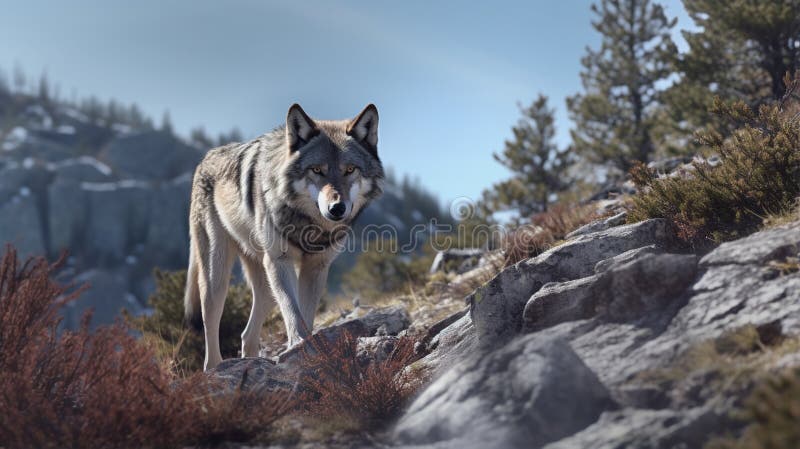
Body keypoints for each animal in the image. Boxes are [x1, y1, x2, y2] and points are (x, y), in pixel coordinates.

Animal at [184, 104, 383, 370]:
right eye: (317, 170)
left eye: (350, 170)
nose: (337, 208)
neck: (309, 225)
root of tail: (206, 158)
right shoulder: (280, 261)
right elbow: (292, 311)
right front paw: (298, 345)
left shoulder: (316, 267)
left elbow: (306, 315)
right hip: (218, 280)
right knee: (211, 334)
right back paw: (216, 369)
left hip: (266, 286)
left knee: (247, 335)